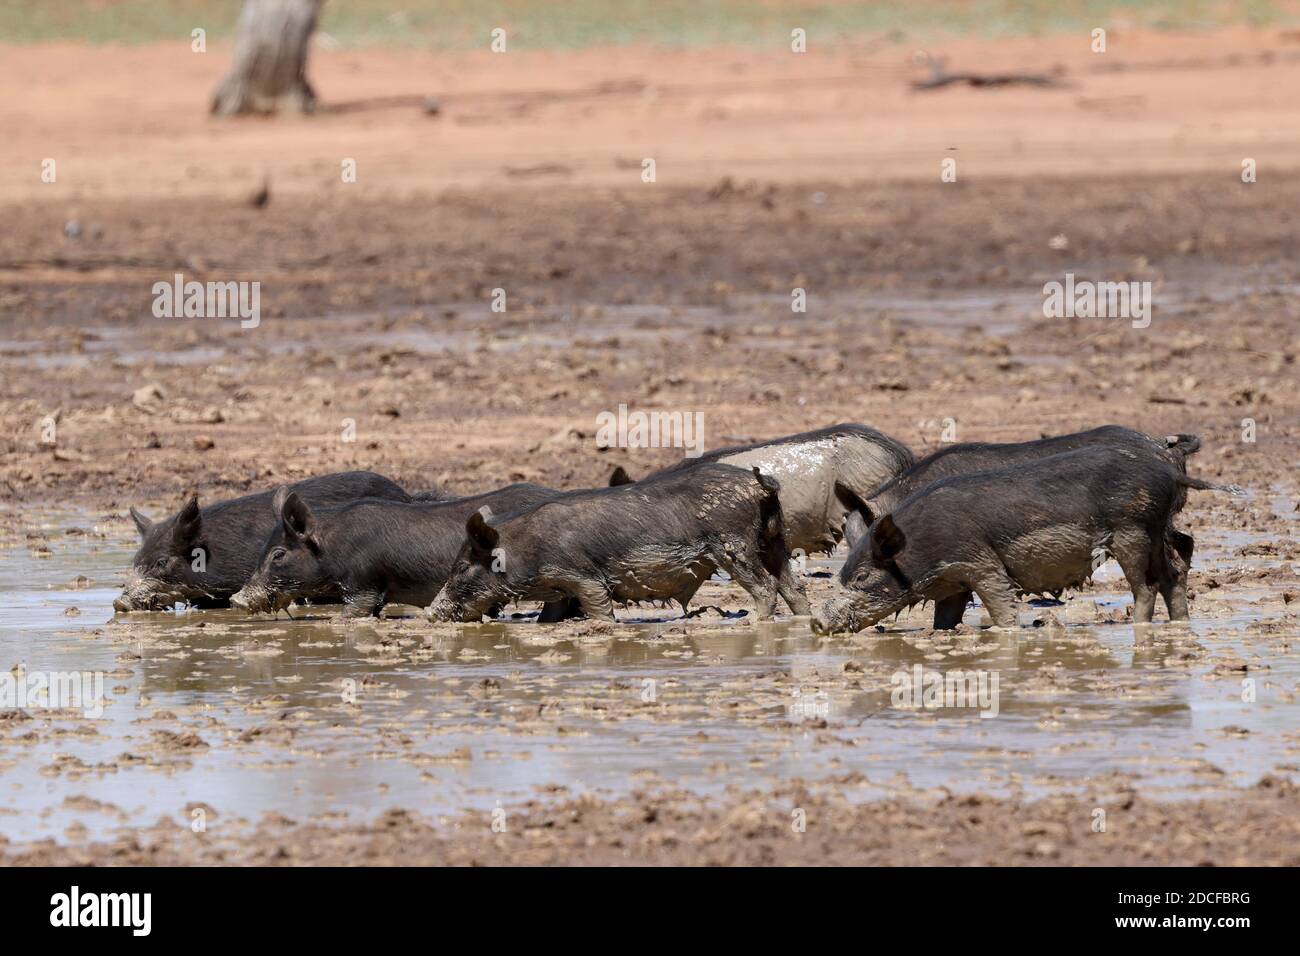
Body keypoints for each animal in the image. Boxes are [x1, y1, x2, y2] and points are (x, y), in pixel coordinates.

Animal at [428, 463, 808, 623]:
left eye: (462, 567)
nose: (432, 612)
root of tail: (762, 484)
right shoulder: (560, 586)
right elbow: (550, 615)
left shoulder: (582, 575)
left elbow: (599, 606)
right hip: (774, 539)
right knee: (792, 585)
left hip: (734, 545)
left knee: (765, 586)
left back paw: (750, 622)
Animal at [813, 445, 1221, 635]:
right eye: (842, 576)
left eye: (862, 577)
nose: (817, 621)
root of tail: (1167, 472)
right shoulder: (952, 581)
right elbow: (945, 617)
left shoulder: (978, 561)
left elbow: (1000, 601)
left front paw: (1005, 631)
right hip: (1155, 531)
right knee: (1173, 572)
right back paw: (1179, 623)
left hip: (1131, 532)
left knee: (1145, 585)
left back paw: (1138, 627)